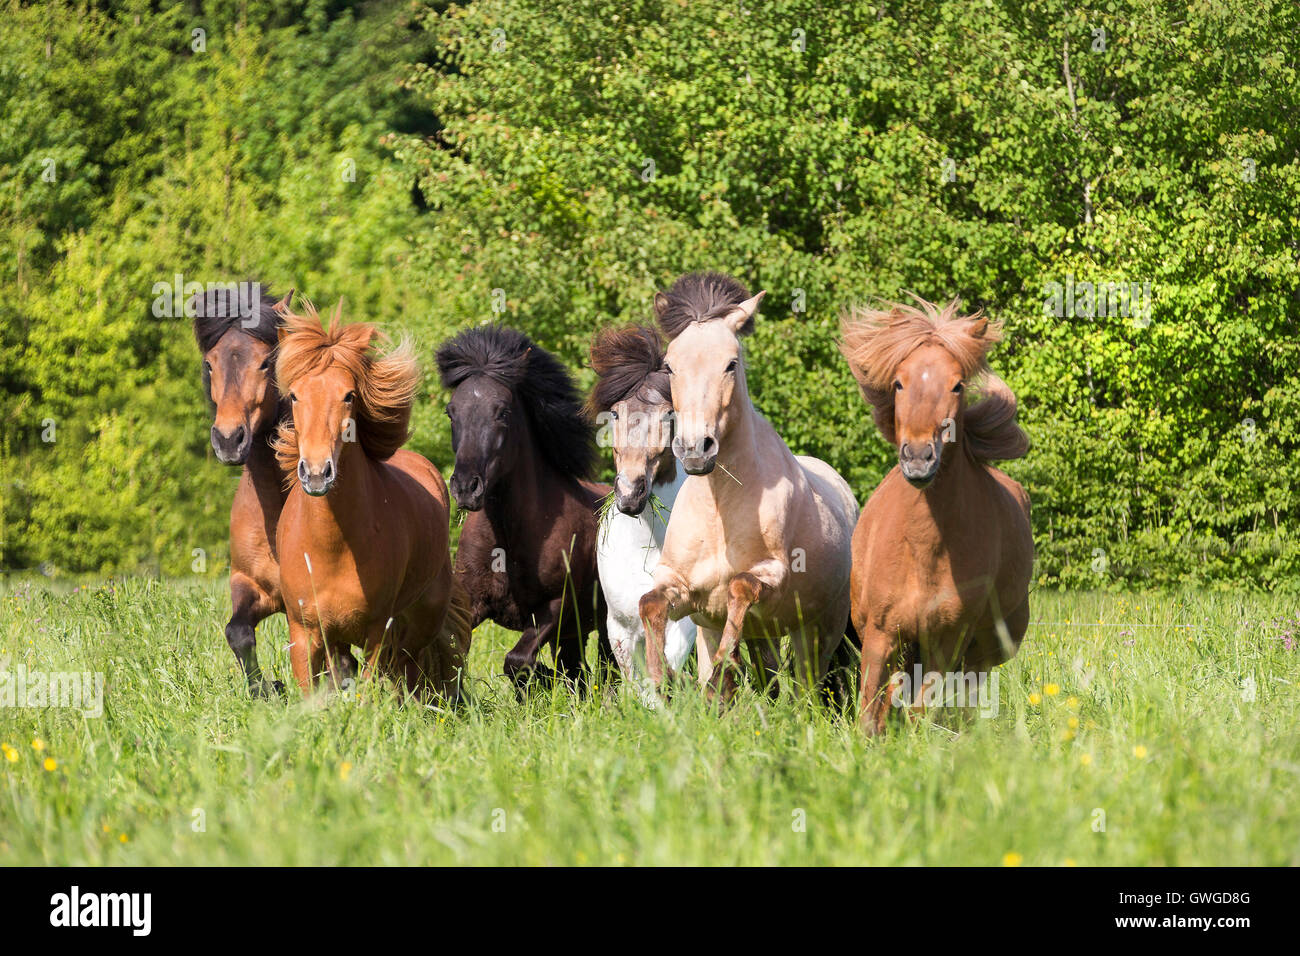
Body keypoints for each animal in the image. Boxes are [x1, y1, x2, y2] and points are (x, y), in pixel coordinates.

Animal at [273, 299, 471, 702]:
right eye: (295, 395)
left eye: (348, 395)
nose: (316, 473)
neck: (332, 547)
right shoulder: (306, 632)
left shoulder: (378, 630)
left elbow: (367, 691)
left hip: (421, 622)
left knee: (411, 668)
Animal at [436, 325, 612, 689]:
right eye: (451, 412)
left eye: (502, 411)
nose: (465, 487)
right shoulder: (471, 602)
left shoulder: (555, 607)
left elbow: (517, 661)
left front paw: (537, 680)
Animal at [588, 325, 697, 700]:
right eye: (615, 414)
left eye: (668, 415)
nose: (630, 494)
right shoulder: (618, 627)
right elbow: (637, 684)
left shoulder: (683, 623)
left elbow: (663, 669)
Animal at [638, 272, 859, 704]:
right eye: (670, 366)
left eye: (731, 364)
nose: (695, 448)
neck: (718, 508)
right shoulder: (682, 589)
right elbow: (649, 602)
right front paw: (663, 679)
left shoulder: (771, 576)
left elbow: (739, 587)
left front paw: (724, 671)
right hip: (753, 634)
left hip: (817, 631)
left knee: (807, 687)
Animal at [838, 296, 1033, 735]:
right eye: (898, 382)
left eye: (957, 384)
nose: (918, 458)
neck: (924, 549)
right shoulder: (880, 634)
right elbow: (871, 707)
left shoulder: (947, 639)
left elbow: (920, 709)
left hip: (983, 649)